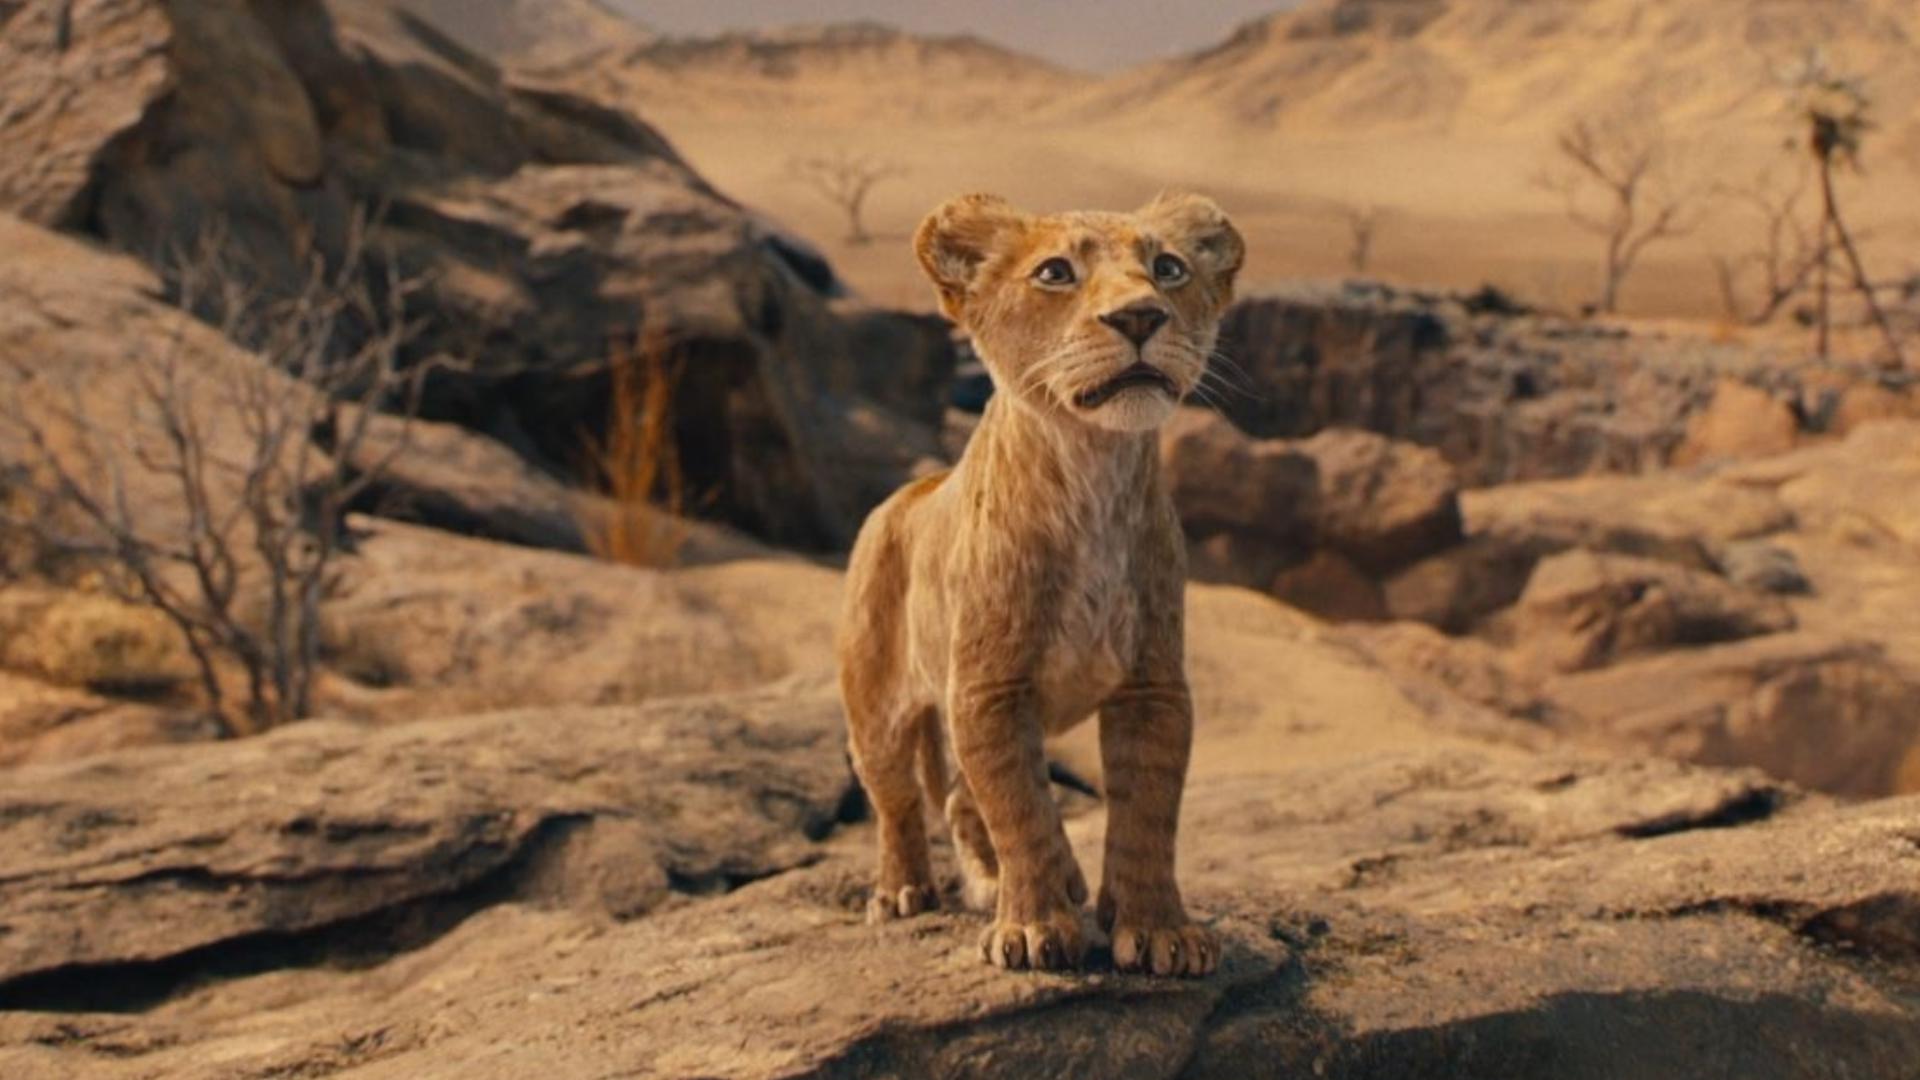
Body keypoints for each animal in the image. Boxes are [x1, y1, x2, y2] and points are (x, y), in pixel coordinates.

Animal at [837, 191, 1245, 977]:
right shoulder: (988, 690)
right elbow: (1021, 807)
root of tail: (906, 492)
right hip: (877, 709)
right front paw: (1031, 928)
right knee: (900, 801)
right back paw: (903, 891)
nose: (1140, 317)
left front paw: (1158, 930)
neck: (1092, 472)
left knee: (961, 799)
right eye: (1055, 272)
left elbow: (1148, 812)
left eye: (1168, 268)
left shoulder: (1153, 686)